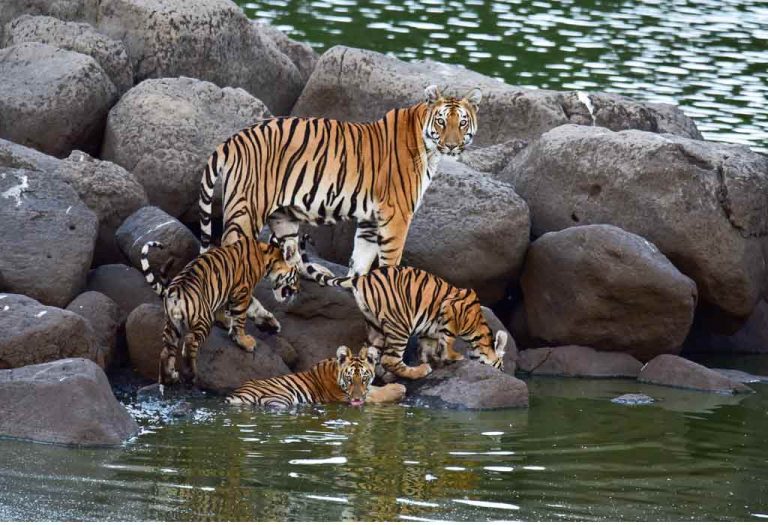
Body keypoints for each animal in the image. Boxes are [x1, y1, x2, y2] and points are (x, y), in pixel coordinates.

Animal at [140, 237, 299, 385]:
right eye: (297, 275)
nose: (298, 291)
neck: (266, 256)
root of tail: (175, 290)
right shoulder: (242, 291)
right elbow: (240, 319)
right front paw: (244, 341)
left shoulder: (233, 292)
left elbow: (255, 307)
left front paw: (271, 324)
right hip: (203, 318)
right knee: (190, 341)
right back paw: (190, 374)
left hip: (173, 324)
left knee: (166, 350)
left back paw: (169, 377)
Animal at [197, 85, 482, 323]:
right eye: (441, 121)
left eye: (462, 122)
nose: (452, 146)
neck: (428, 149)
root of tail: (234, 138)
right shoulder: (397, 215)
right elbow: (391, 260)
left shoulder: (371, 218)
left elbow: (361, 257)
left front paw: (357, 287)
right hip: (248, 209)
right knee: (230, 254)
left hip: (283, 217)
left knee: (287, 256)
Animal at [225, 346, 407, 408]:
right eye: (349, 379)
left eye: (364, 378)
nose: (356, 399)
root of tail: (236, 394)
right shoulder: (344, 397)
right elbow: (377, 394)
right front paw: (400, 389)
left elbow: (374, 389)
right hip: (280, 398)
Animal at [305, 264, 508, 380]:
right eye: (501, 366)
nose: (502, 373)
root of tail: (363, 277)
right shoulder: (451, 310)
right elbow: (448, 340)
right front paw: (453, 357)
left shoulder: (430, 331)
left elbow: (429, 346)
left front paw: (435, 360)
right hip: (400, 323)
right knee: (390, 358)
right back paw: (419, 371)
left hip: (375, 326)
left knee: (371, 354)